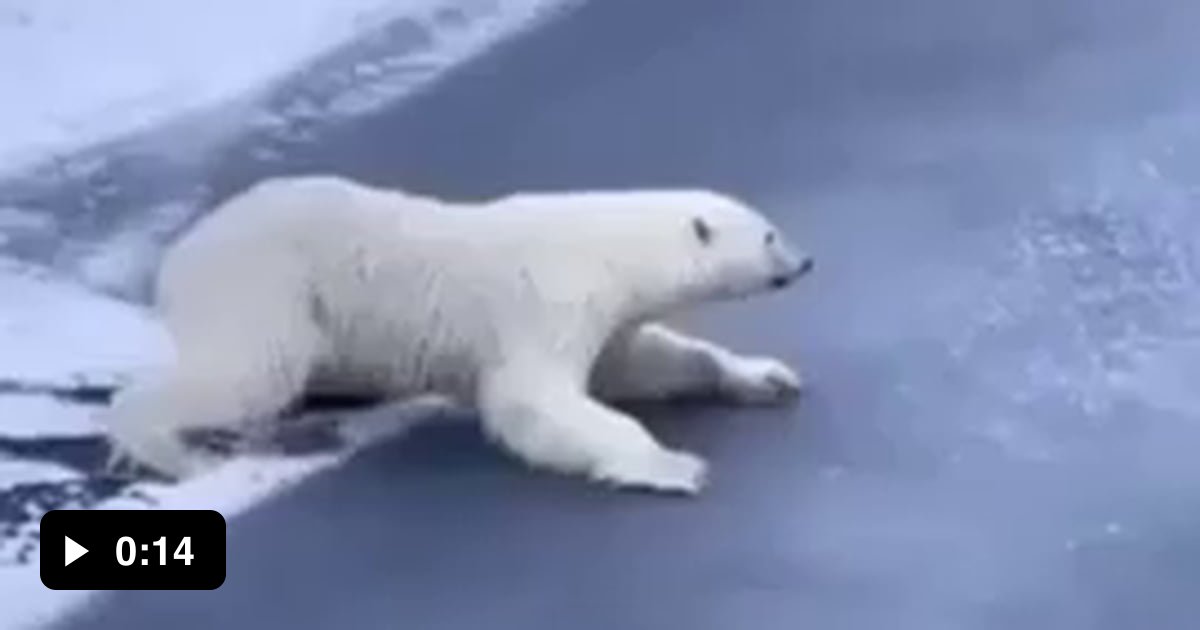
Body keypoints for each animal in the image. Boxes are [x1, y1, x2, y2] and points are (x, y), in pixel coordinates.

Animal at [100, 175, 814, 494]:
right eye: (770, 234)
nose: (806, 261)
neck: (609, 246)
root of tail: (175, 260)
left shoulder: (602, 316)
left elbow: (637, 362)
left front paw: (764, 377)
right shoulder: (549, 299)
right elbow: (535, 400)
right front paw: (673, 465)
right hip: (266, 289)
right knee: (248, 374)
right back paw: (171, 451)